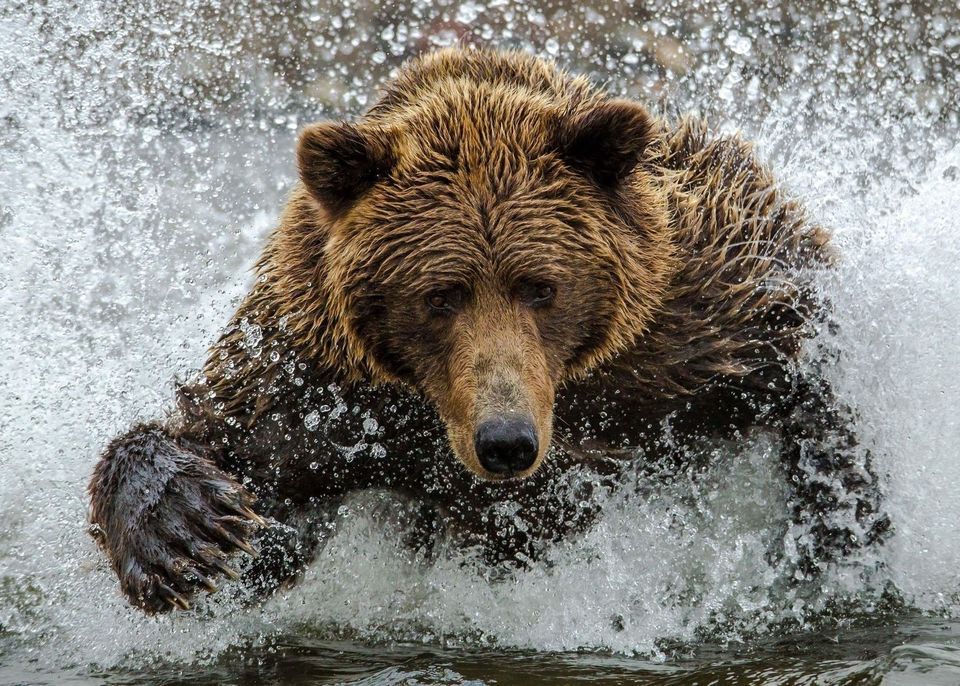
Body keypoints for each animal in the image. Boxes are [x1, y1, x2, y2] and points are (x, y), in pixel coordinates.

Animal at [88, 47, 889, 614]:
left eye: (542, 286)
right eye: (440, 295)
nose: (506, 441)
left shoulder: (700, 312)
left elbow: (802, 372)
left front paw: (837, 536)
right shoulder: (319, 386)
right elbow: (235, 455)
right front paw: (186, 533)